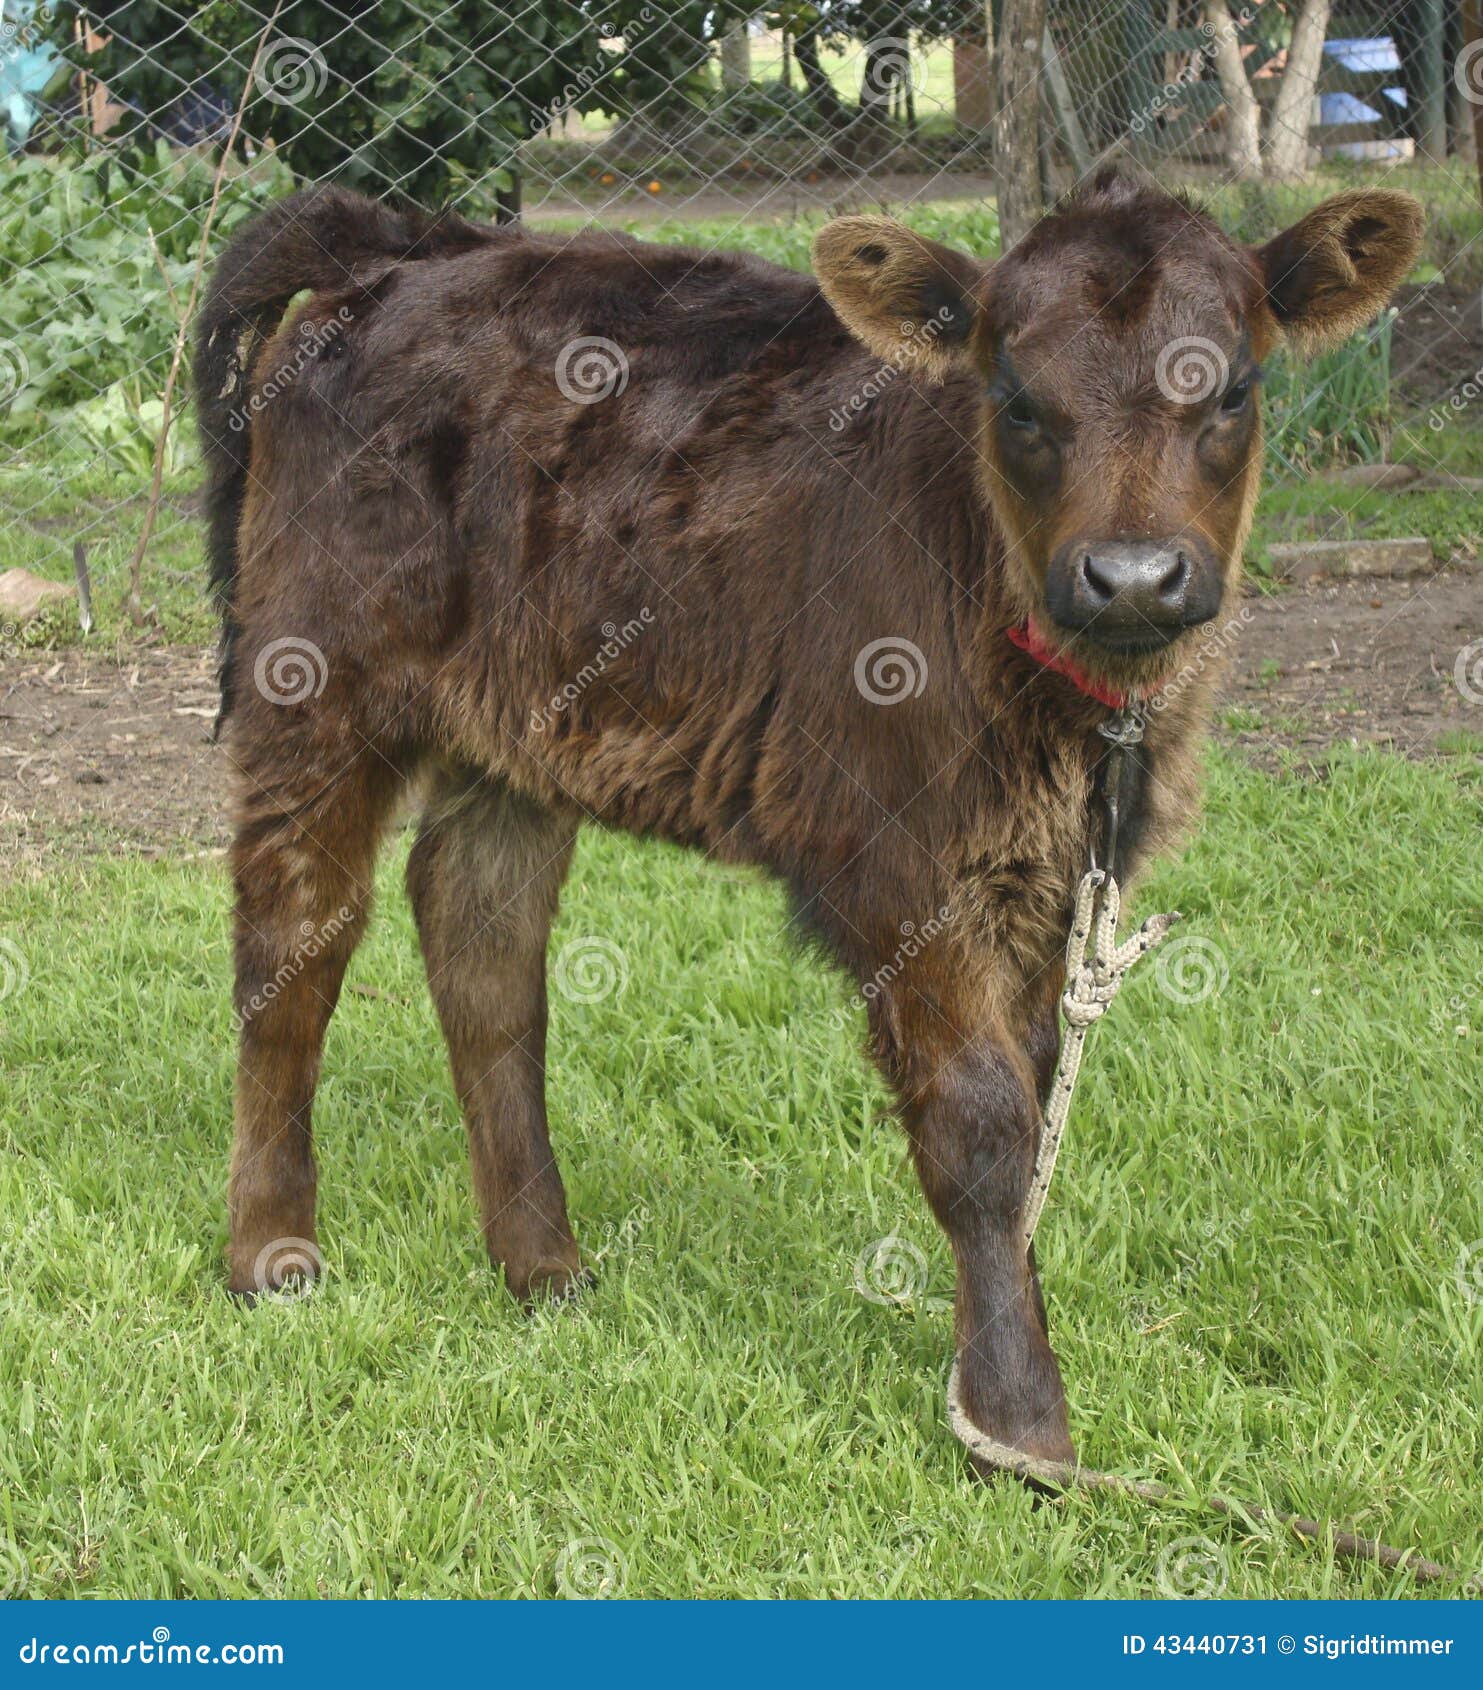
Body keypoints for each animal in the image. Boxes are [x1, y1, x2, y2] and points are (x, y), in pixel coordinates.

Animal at [195, 172, 1420, 1472]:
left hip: (519, 723)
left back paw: (543, 1265)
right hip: (315, 673)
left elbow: (1033, 1096)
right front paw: (1018, 1423)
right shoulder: (892, 857)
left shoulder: (1046, 876)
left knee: (482, 941)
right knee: (296, 937)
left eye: (1233, 389)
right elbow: (981, 1125)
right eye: (1013, 399)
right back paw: (272, 1254)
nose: (1131, 576)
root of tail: (410, 249)